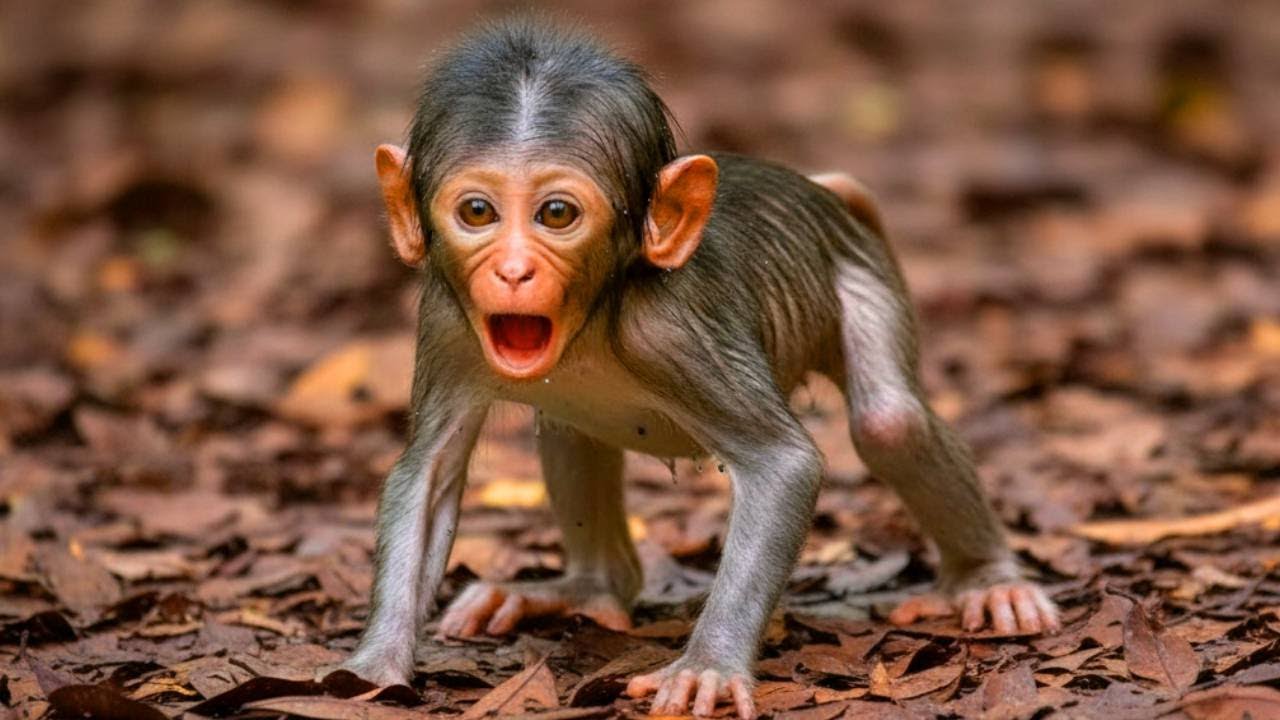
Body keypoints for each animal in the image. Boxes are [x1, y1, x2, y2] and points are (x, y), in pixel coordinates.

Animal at [339, 18, 1059, 720]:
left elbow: (782, 464)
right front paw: (374, 667)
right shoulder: (445, 320)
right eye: (477, 212)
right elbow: (429, 474)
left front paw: (706, 667)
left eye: (556, 214)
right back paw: (585, 589)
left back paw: (986, 581)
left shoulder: (672, 331)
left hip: (862, 273)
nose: (514, 271)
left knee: (891, 424)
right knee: (571, 431)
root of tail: (818, 191)